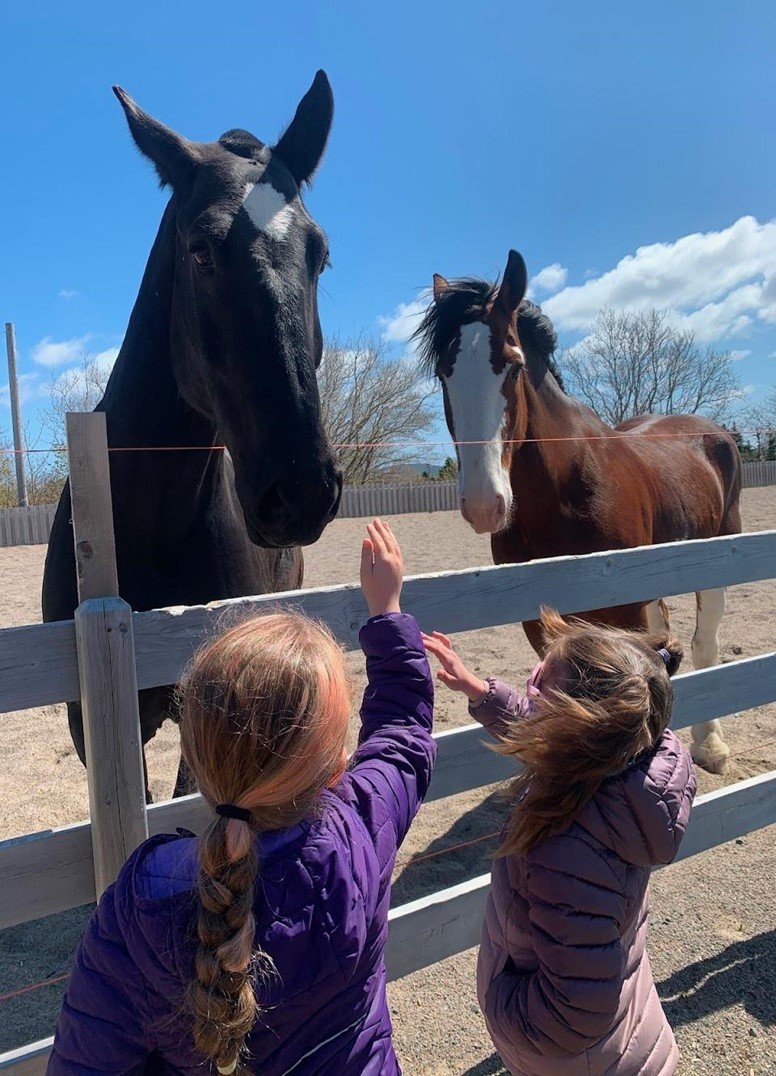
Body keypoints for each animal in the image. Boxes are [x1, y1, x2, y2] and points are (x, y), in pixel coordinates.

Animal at [415, 250, 742, 774]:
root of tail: (716, 433)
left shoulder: (623, 606)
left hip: (716, 559)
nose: (485, 503)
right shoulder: (539, 618)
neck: (566, 491)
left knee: (704, 645)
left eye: (512, 366)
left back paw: (710, 745)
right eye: (445, 373)